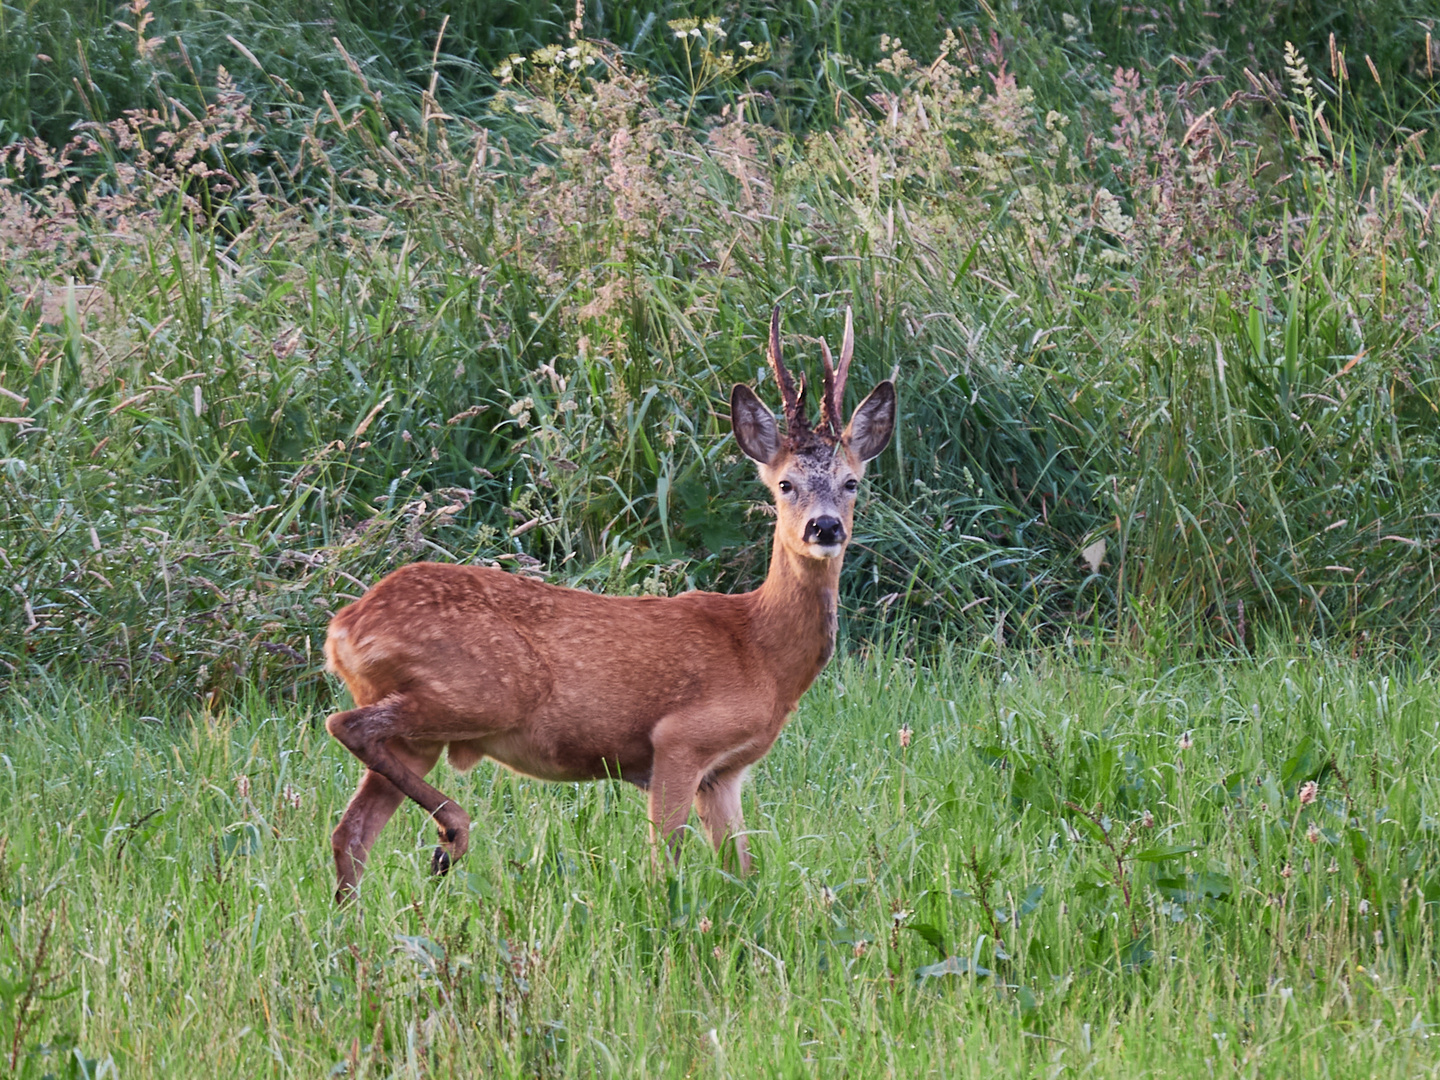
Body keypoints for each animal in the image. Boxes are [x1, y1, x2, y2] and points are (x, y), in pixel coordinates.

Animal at [322, 308, 892, 898]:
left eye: (852, 482)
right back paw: (451, 834)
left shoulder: (725, 774)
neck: (760, 649)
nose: (824, 527)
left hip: (425, 731)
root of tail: (342, 629)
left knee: (351, 831)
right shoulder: (679, 741)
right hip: (483, 689)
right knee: (345, 726)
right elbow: (663, 863)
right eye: (785, 484)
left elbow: (743, 871)